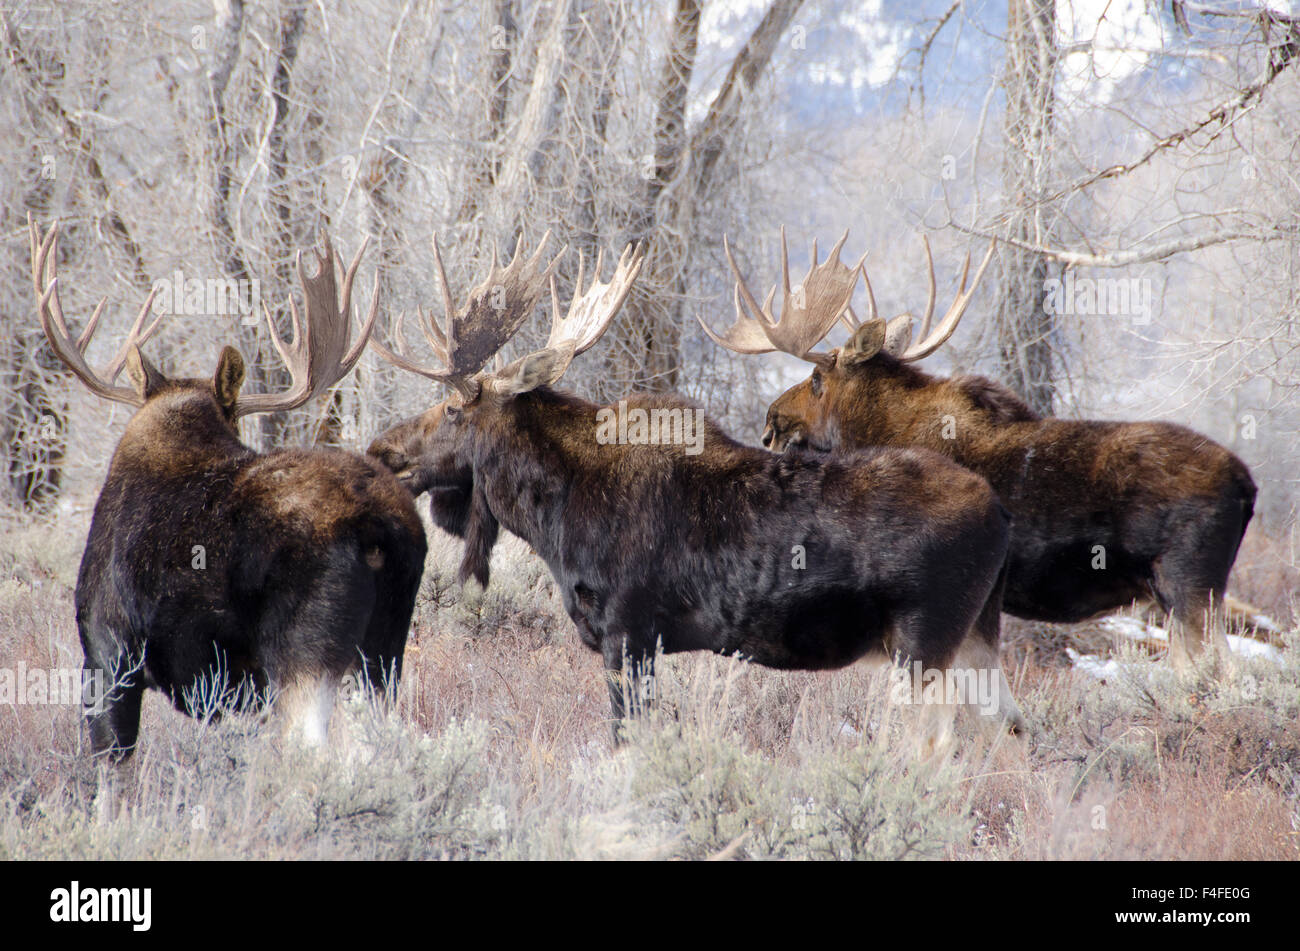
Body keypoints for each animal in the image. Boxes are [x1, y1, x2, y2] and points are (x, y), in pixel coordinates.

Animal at [30, 219, 427, 762]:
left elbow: (111, 765)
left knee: (313, 748)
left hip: (303, 654)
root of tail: (381, 529)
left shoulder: (107, 650)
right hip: (382, 658)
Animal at [366, 233, 1026, 748]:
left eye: (452, 408)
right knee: (1006, 728)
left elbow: (627, 741)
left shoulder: (628, 633)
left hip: (923, 641)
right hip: (976, 637)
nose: (383, 451)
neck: (553, 517)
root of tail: (1000, 514)